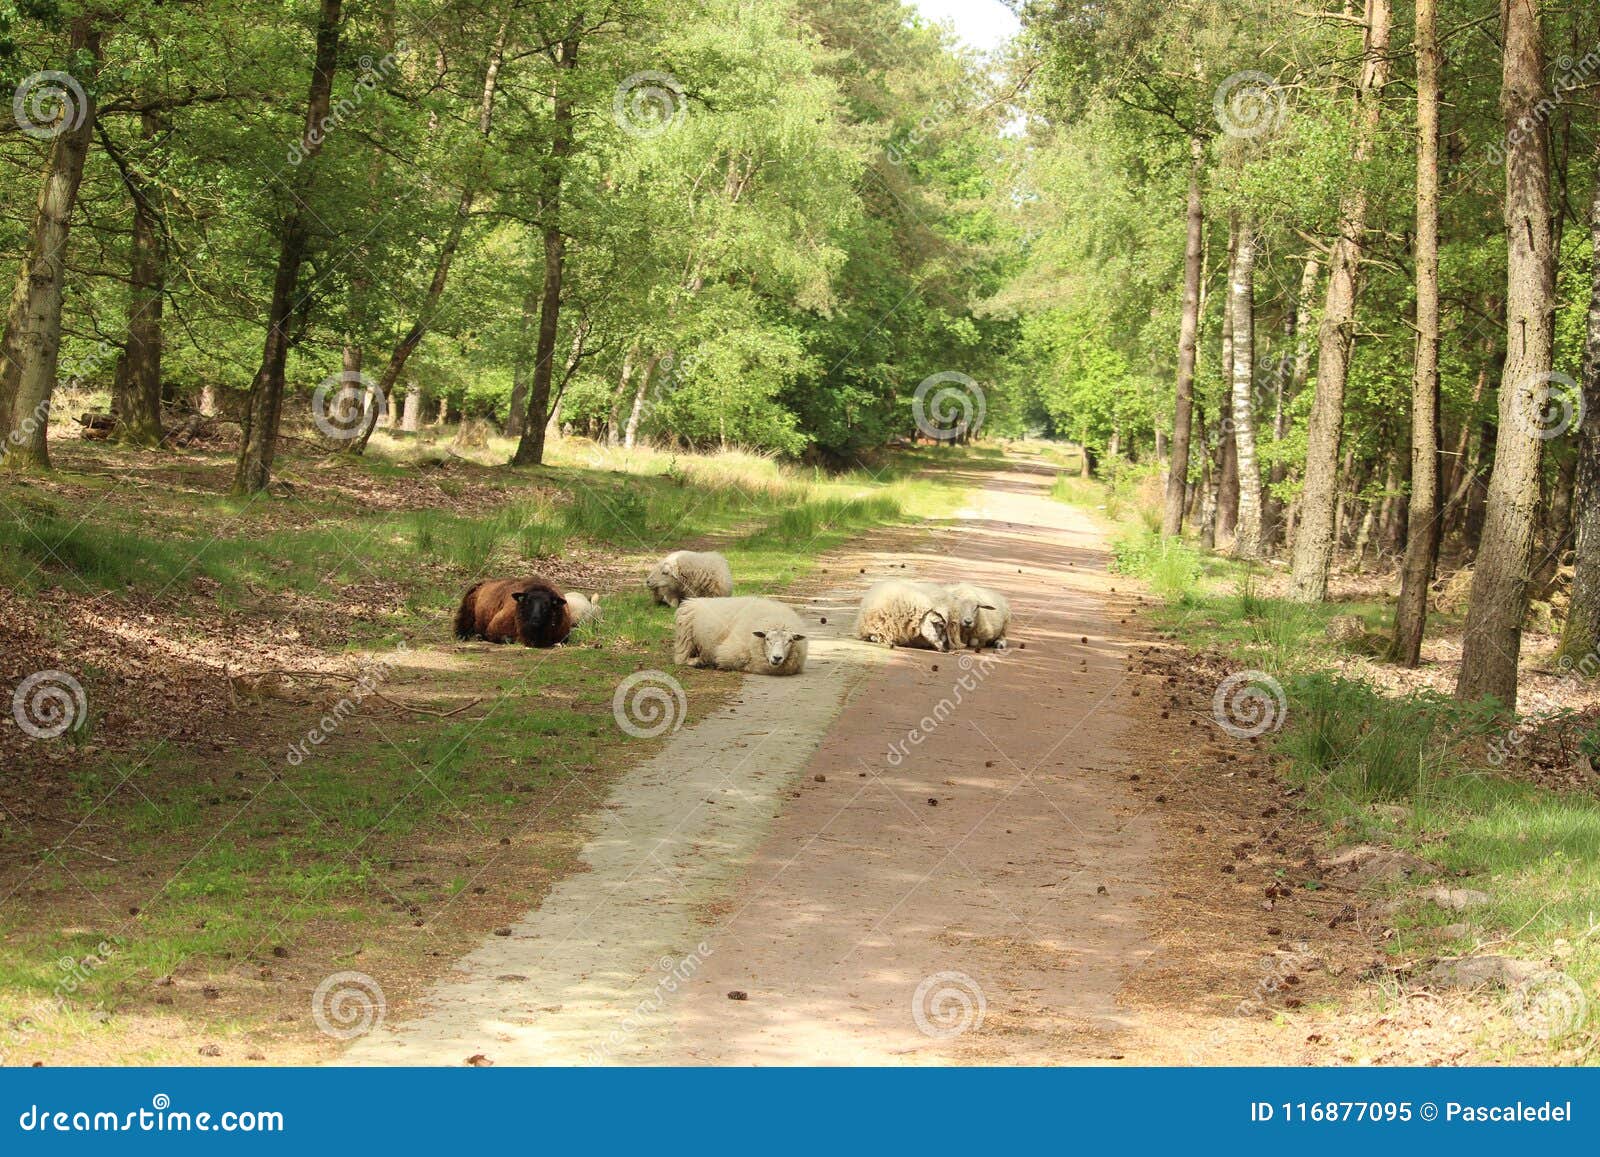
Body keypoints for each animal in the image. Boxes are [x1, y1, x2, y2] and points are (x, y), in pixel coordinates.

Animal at [674, 596, 808, 675]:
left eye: (790, 641)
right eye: (767, 639)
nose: (777, 658)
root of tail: (692, 600)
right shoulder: (728, 652)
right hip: (685, 638)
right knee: (680, 659)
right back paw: (696, 662)